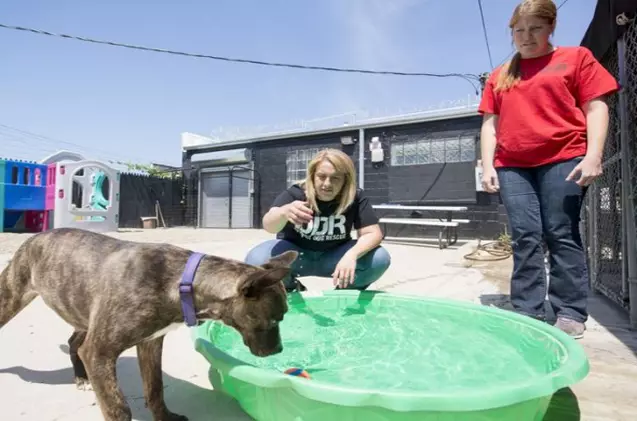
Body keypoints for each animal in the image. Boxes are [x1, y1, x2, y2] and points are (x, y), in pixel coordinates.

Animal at [0, 228, 298, 418]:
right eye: (276, 318)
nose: (279, 350)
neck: (181, 283)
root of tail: (36, 237)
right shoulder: (99, 354)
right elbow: (118, 407)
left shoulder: (150, 343)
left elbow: (155, 389)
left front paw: (165, 417)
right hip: (11, 298)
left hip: (81, 311)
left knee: (74, 342)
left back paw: (81, 377)